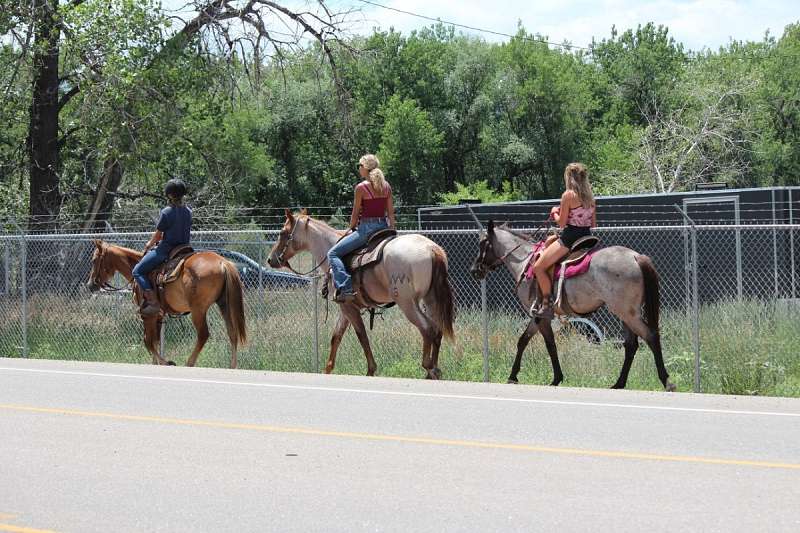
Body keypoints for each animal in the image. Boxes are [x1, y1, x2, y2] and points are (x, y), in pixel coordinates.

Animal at [87, 240, 247, 368]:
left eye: (94, 260)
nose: (90, 285)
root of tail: (223, 263)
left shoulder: (147, 315)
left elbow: (148, 341)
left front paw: (165, 362)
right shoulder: (158, 315)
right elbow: (155, 340)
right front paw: (156, 362)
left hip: (198, 310)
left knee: (203, 334)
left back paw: (190, 362)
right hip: (224, 304)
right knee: (232, 332)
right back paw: (233, 365)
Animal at [267, 209, 455, 379]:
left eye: (283, 232)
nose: (270, 259)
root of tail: (431, 248)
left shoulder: (349, 308)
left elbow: (362, 336)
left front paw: (371, 370)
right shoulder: (345, 307)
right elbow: (336, 337)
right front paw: (327, 370)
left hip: (407, 303)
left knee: (427, 328)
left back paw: (428, 366)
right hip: (430, 299)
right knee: (437, 330)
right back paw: (434, 369)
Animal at [470, 221, 675, 391]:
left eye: (483, 244)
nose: (474, 270)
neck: (526, 261)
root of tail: (635, 256)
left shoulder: (540, 314)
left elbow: (548, 344)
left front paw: (553, 378)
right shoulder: (538, 316)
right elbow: (524, 341)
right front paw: (515, 376)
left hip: (627, 313)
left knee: (651, 336)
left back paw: (666, 381)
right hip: (625, 314)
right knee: (631, 345)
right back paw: (619, 383)